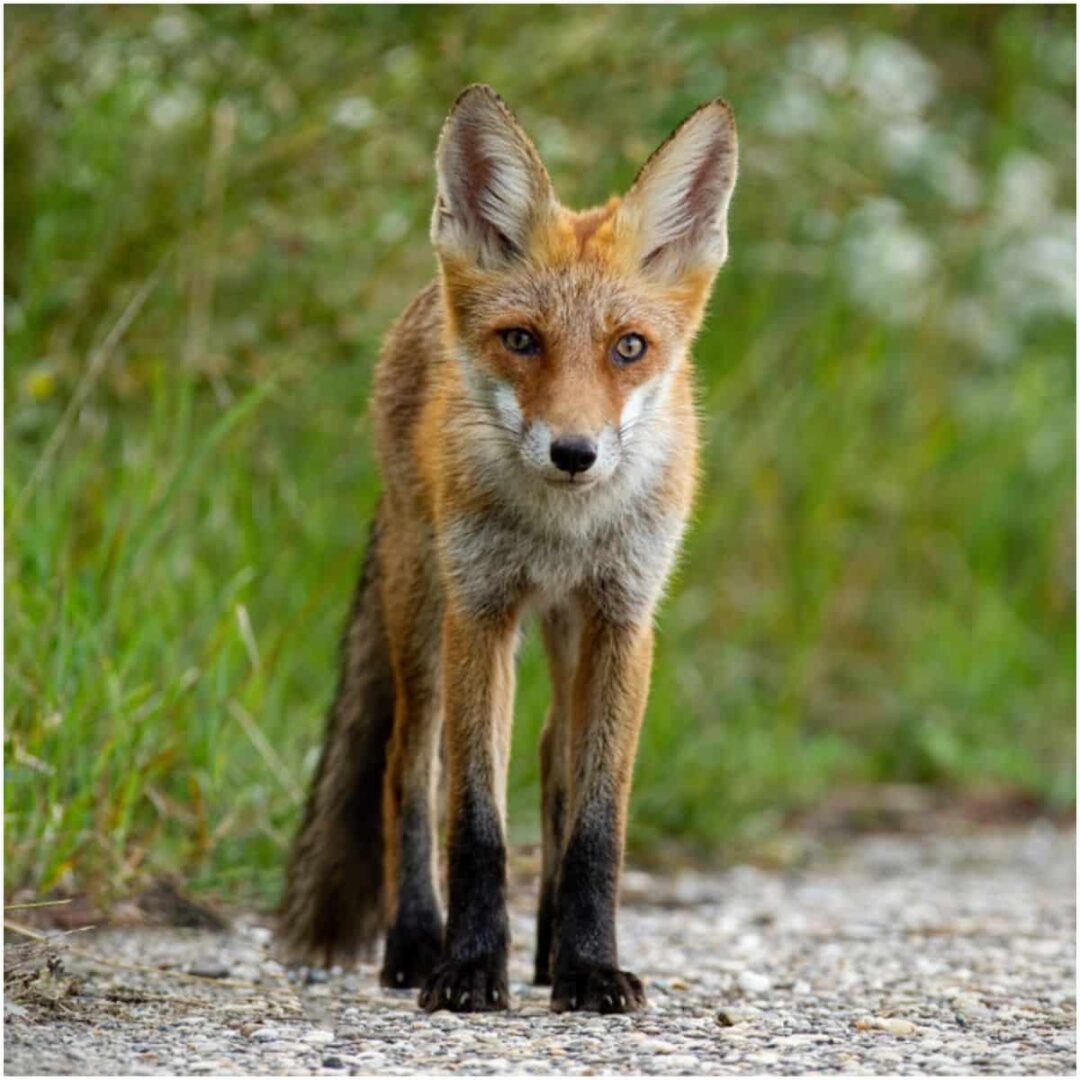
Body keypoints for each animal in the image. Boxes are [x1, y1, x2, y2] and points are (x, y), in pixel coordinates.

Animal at [276, 84, 738, 1014]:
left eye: (629, 347)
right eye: (522, 340)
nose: (574, 453)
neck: (561, 533)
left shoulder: (623, 619)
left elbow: (598, 823)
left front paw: (590, 967)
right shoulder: (482, 612)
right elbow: (476, 824)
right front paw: (466, 968)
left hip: (562, 634)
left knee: (554, 758)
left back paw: (552, 951)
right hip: (424, 609)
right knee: (408, 769)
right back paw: (417, 941)